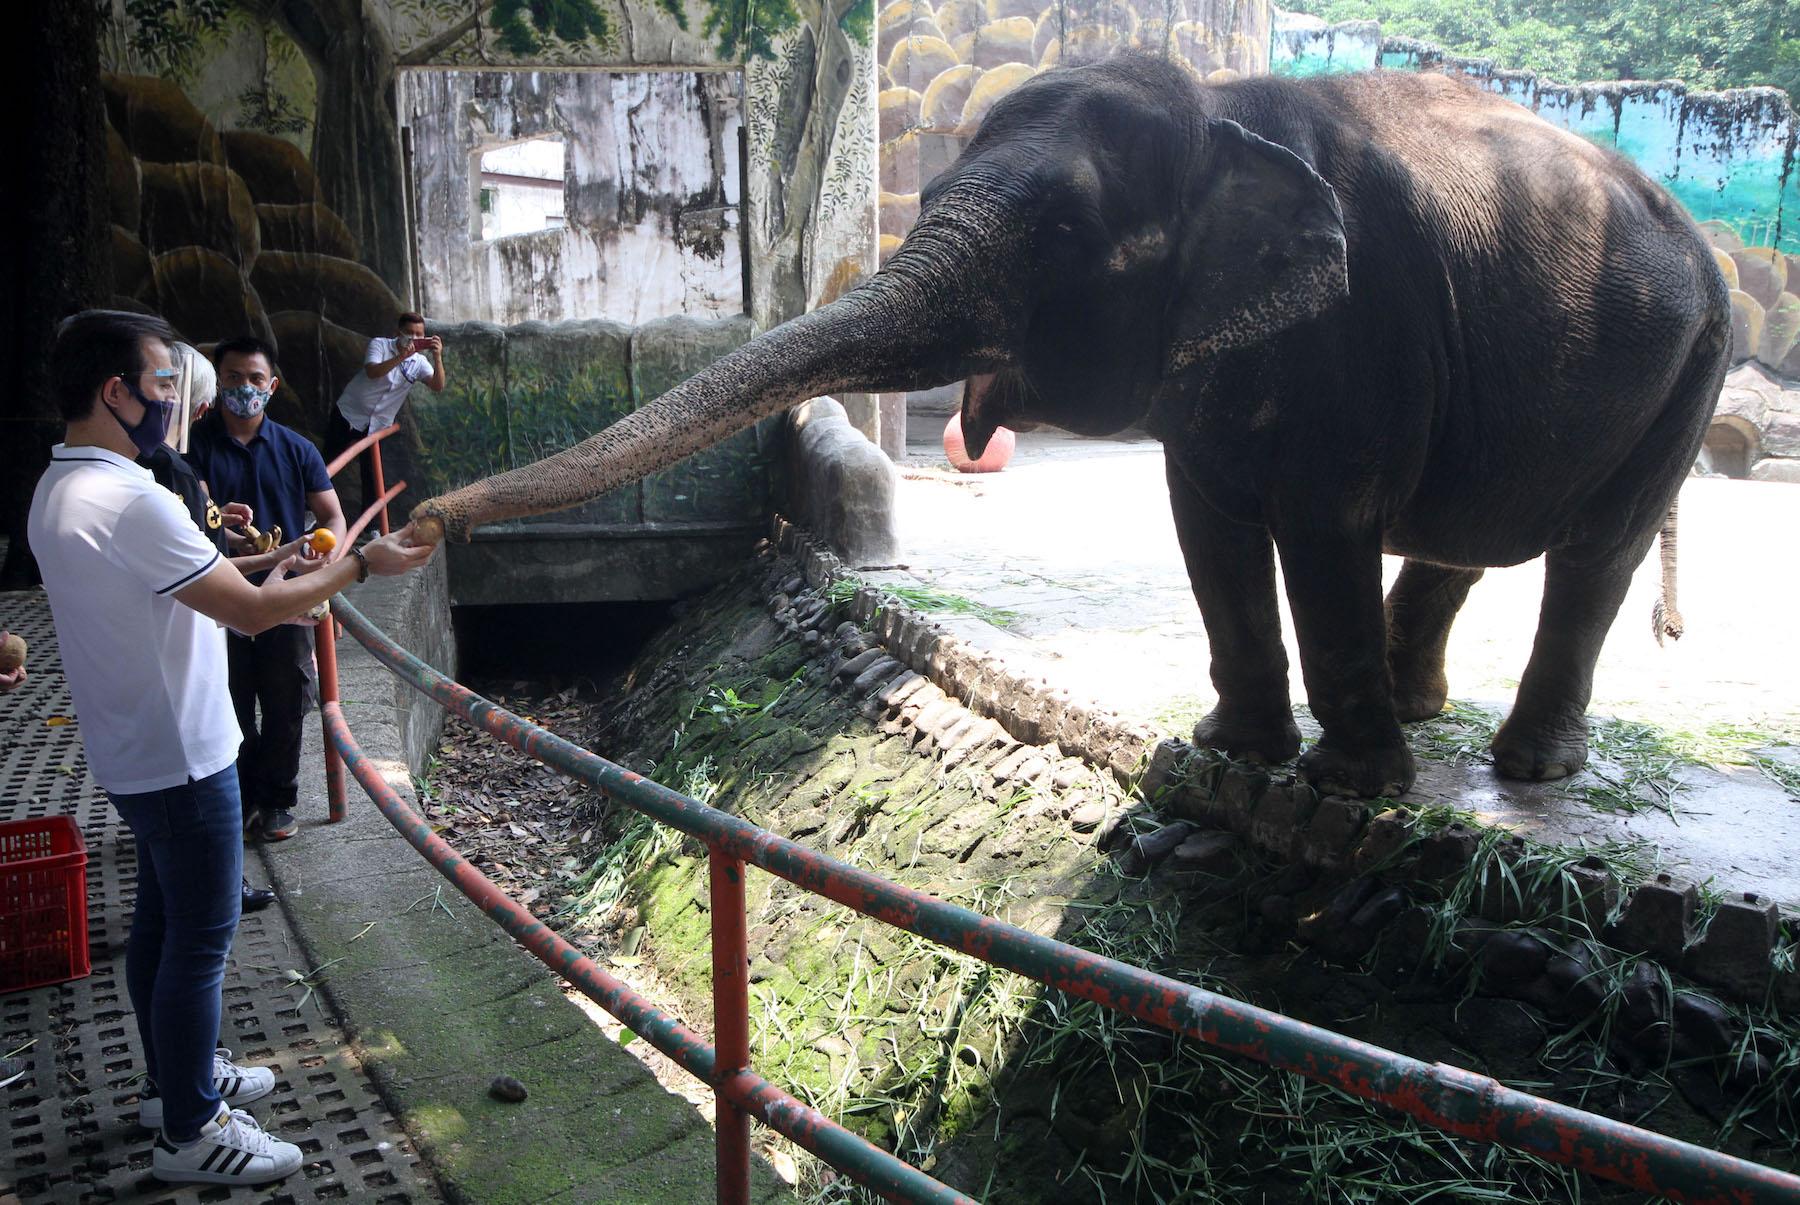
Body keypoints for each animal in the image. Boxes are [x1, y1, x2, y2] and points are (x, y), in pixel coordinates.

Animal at [412, 55, 1730, 799]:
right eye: (936, 198)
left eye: (1059, 240)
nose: (419, 517)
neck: (1221, 113)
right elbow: (1208, 532)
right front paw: (1229, 750)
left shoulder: (1366, 337)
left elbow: (1322, 534)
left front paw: (1350, 790)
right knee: (1470, 537)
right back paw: (1429, 715)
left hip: (1693, 371)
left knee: (1593, 552)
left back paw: (1526, 766)